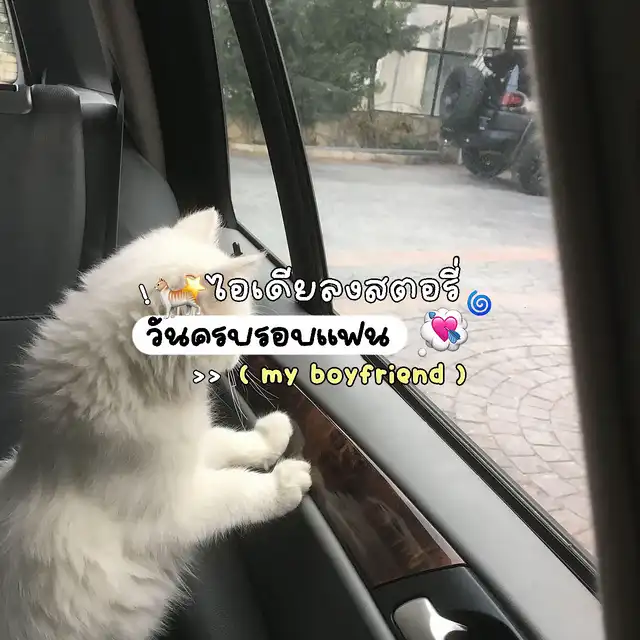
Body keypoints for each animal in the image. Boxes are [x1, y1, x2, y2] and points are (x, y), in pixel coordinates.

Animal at [0, 208, 312, 640]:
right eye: (236, 333)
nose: (245, 356)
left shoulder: (188, 450)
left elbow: (226, 441)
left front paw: (272, 435)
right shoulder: (175, 509)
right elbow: (236, 490)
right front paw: (284, 482)